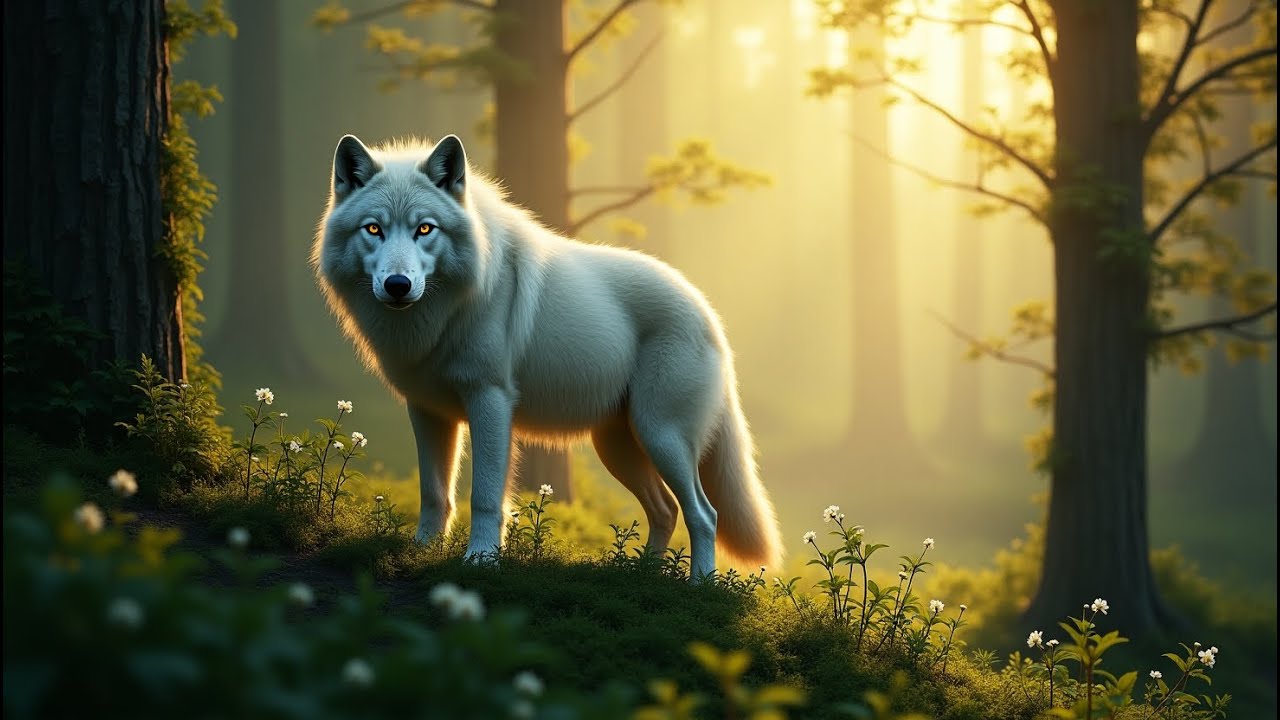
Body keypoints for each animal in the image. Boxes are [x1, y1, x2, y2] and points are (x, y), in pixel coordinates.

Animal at [312, 134, 781, 579]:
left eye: (425, 230)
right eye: (374, 230)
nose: (397, 285)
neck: (451, 310)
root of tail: (708, 312)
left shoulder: (490, 402)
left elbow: (485, 496)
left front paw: (481, 560)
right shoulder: (428, 410)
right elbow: (434, 493)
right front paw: (422, 552)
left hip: (661, 436)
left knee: (704, 513)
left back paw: (700, 585)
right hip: (621, 448)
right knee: (666, 510)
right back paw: (641, 575)